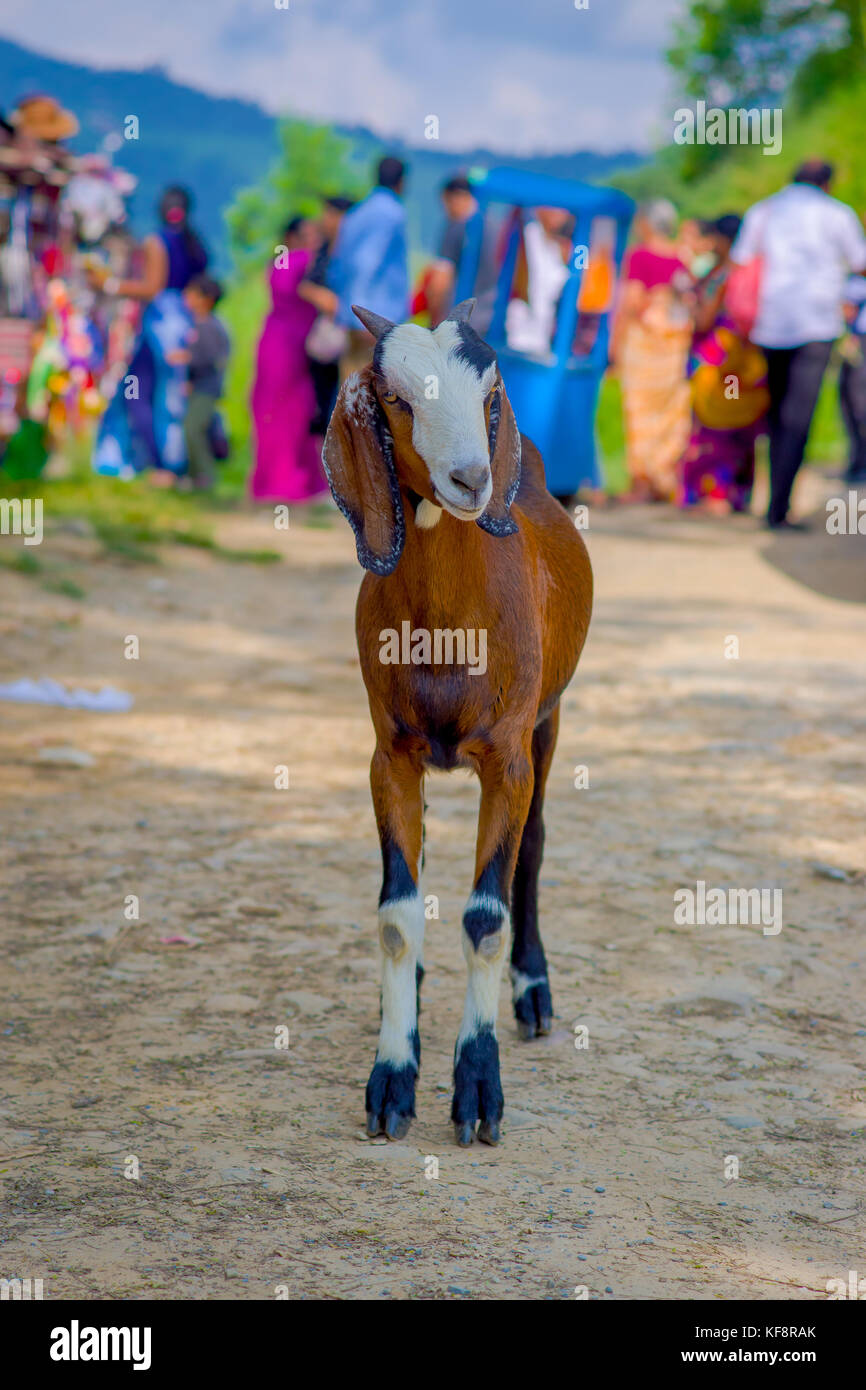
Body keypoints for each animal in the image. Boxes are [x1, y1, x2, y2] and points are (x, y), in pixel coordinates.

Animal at [322, 299, 592, 1146]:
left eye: (489, 394)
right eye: (397, 398)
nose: (472, 478)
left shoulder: (508, 754)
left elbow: (484, 915)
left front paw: (477, 1089)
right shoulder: (390, 754)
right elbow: (397, 914)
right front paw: (391, 1079)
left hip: (550, 720)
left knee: (532, 850)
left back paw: (533, 993)